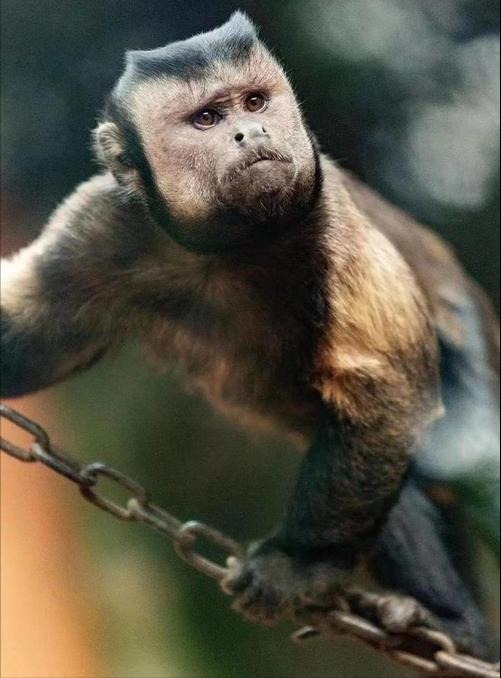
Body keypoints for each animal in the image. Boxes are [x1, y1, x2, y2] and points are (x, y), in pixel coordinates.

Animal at [1, 13, 499, 660]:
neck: (233, 243)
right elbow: (28, 340)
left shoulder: (331, 222)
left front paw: (298, 567)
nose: (251, 131)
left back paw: (459, 632)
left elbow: (386, 392)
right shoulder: (98, 228)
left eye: (255, 102)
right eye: (208, 119)